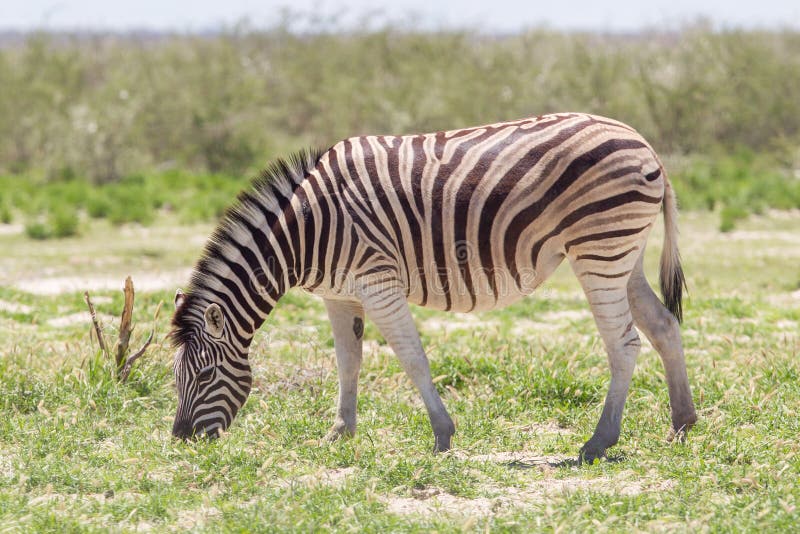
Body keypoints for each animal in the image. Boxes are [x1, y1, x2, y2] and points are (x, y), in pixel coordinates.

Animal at [170, 112, 697, 462]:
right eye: (176, 378)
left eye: (205, 376)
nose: (181, 439)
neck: (305, 231)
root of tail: (642, 142)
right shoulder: (339, 294)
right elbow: (348, 362)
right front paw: (339, 432)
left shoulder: (376, 281)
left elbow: (411, 357)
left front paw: (442, 435)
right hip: (623, 254)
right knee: (663, 326)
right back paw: (682, 425)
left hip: (599, 249)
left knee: (624, 343)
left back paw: (598, 442)